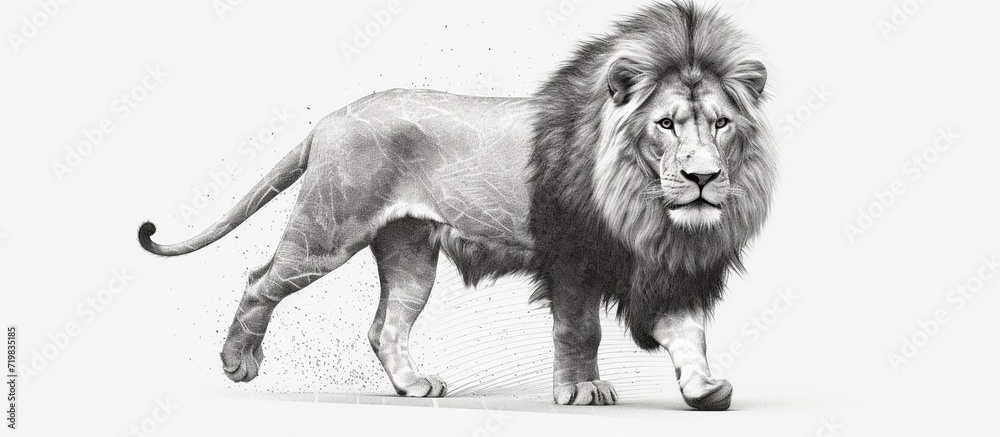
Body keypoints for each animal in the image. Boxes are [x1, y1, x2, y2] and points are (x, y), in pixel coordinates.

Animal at [138, 1, 776, 410]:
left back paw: (413, 387)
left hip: (409, 252)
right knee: (260, 279)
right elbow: (580, 330)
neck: (646, 208)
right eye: (665, 124)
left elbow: (686, 332)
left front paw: (705, 391)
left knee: (385, 326)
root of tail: (333, 117)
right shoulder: (571, 257)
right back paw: (238, 362)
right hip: (328, 229)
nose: (702, 178)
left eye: (720, 124)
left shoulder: (658, 268)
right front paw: (580, 392)